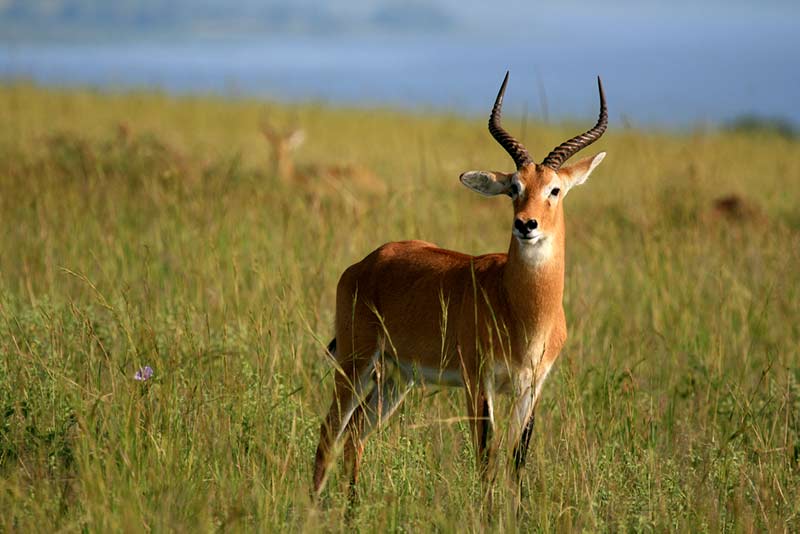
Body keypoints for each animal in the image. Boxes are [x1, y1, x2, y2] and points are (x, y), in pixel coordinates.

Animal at [312, 72, 608, 499]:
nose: (526, 225)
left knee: (354, 434)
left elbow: (517, 461)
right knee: (329, 432)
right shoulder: (477, 382)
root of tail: (366, 262)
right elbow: (486, 458)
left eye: (554, 189)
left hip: (396, 380)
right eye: (514, 187)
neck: (521, 310)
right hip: (356, 364)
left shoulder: (531, 387)